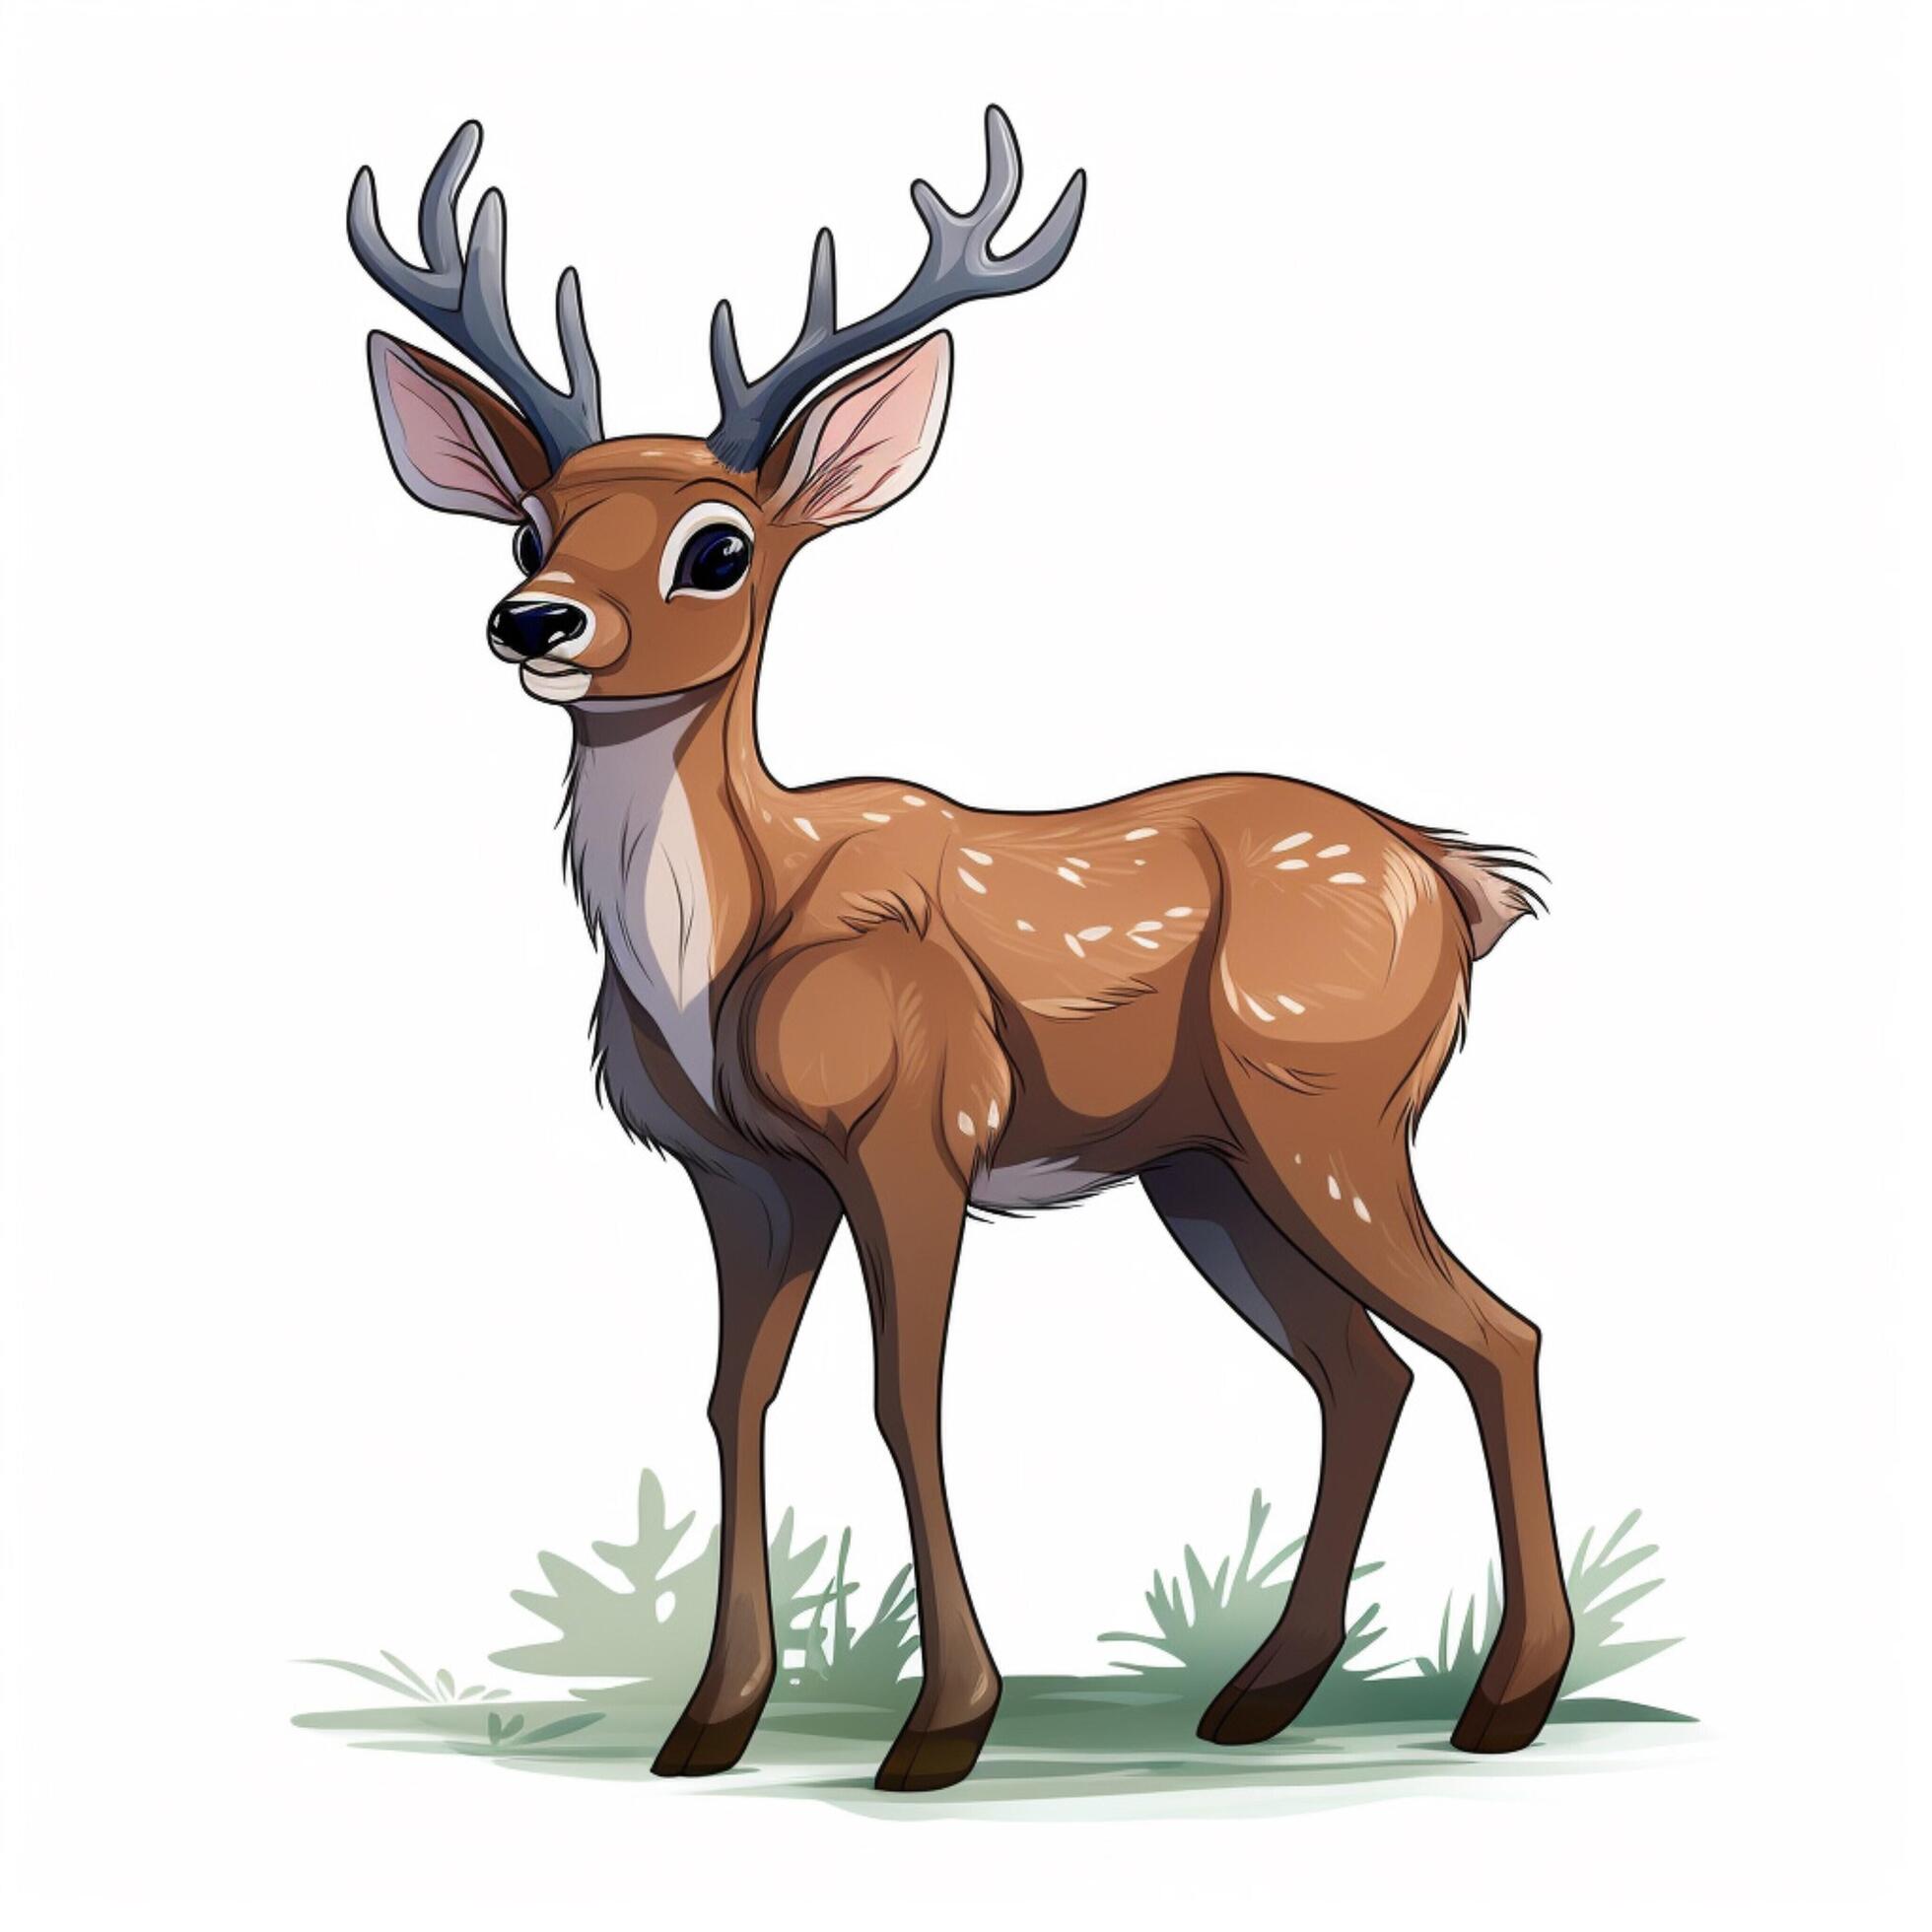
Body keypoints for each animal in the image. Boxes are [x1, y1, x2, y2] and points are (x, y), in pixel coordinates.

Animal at [346, 110, 1573, 1793]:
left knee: (1497, 1334)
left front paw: (943, 1729)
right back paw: (1261, 1695)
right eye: (531, 526)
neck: (722, 952)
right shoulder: (740, 1175)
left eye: (718, 547)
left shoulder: (914, 1123)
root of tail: (1461, 884)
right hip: (1208, 1168)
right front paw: (708, 1724)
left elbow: (903, 1396)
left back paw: (1505, 1699)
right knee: (1363, 1368)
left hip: (1328, 1108)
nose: (533, 620)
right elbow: (733, 1400)